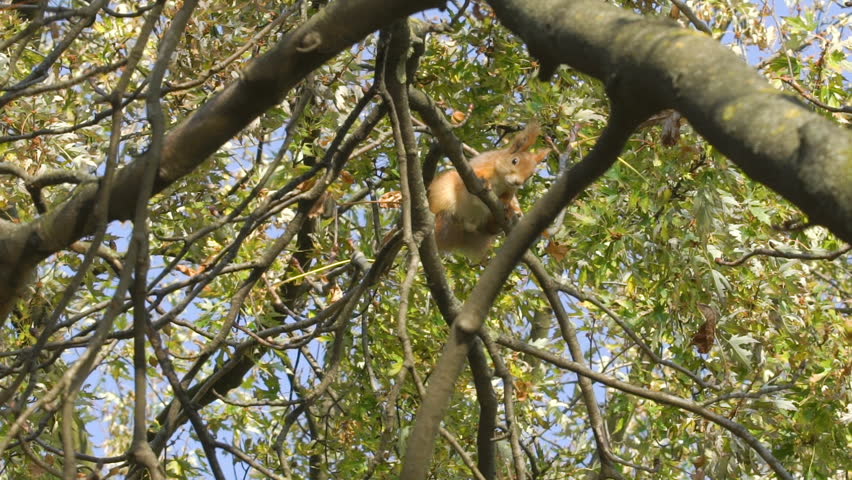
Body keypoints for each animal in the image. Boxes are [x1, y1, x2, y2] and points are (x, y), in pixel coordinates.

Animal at [428, 122, 549, 259]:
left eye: (530, 175)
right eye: (514, 161)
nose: (518, 182)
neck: (502, 179)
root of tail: (466, 223)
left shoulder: (510, 190)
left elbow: (507, 197)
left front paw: (507, 205)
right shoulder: (481, 168)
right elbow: (478, 174)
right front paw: (485, 182)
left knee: (490, 229)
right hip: (444, 192)